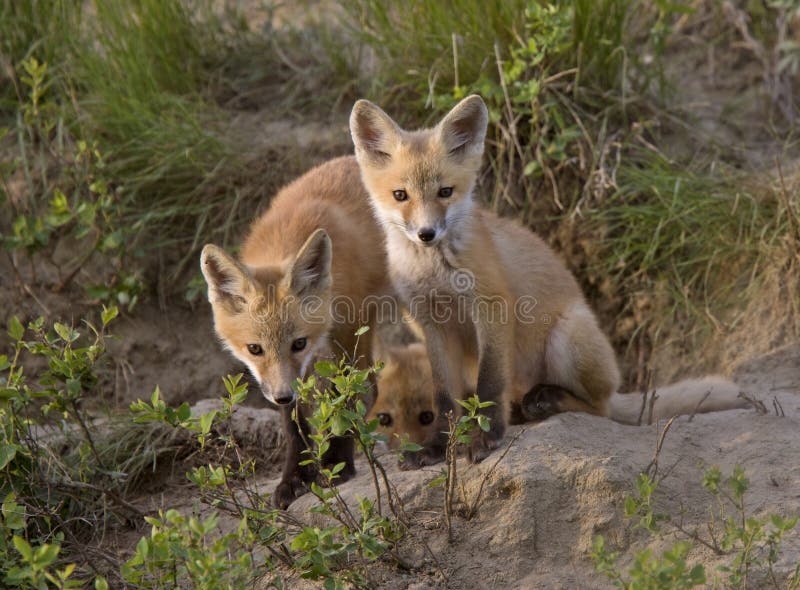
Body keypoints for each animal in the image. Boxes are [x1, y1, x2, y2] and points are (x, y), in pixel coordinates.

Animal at [200, 156, 390, 508]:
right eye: (255, 349)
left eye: (298, 343)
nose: (282, 396)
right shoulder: (288, 375)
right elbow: (294, 423)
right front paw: (295, 477)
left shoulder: (349, 331)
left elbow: (346, 395)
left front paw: (336, 462)